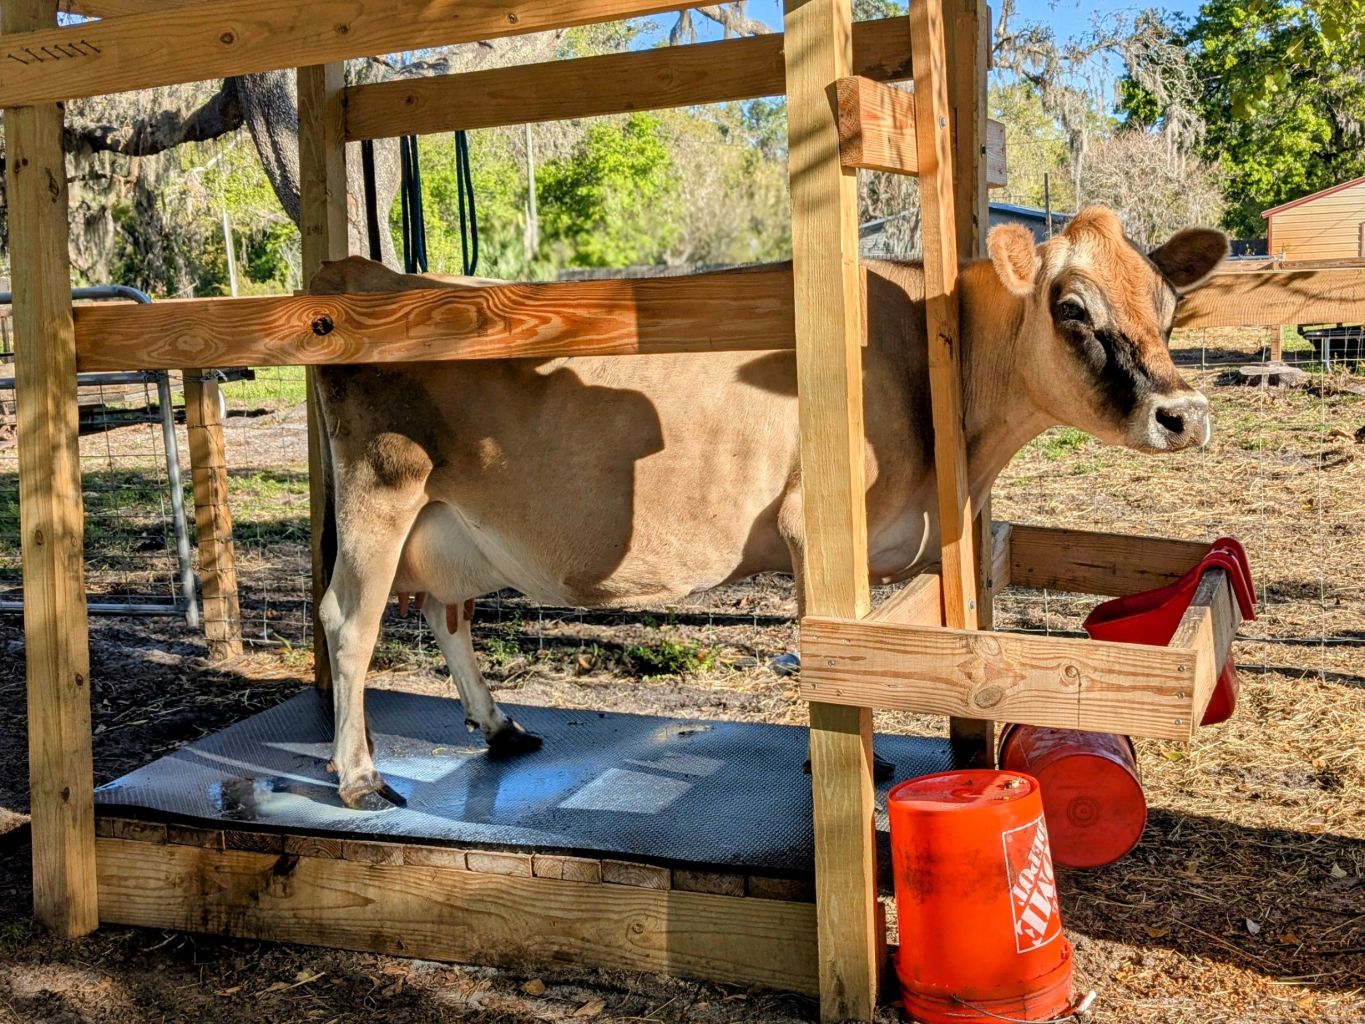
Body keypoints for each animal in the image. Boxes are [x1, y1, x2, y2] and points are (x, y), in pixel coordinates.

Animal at [310, 206, 1228, 808]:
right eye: (1071, 308)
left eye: (1167, 306)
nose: (1183, 414)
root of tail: (358, 274)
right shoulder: (806, 527)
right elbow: (836, 653)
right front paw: (852, 769)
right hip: (382, 487)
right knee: (347, 620)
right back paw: (358, 776)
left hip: (447, 518)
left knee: (446, 611)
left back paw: (500, 727)